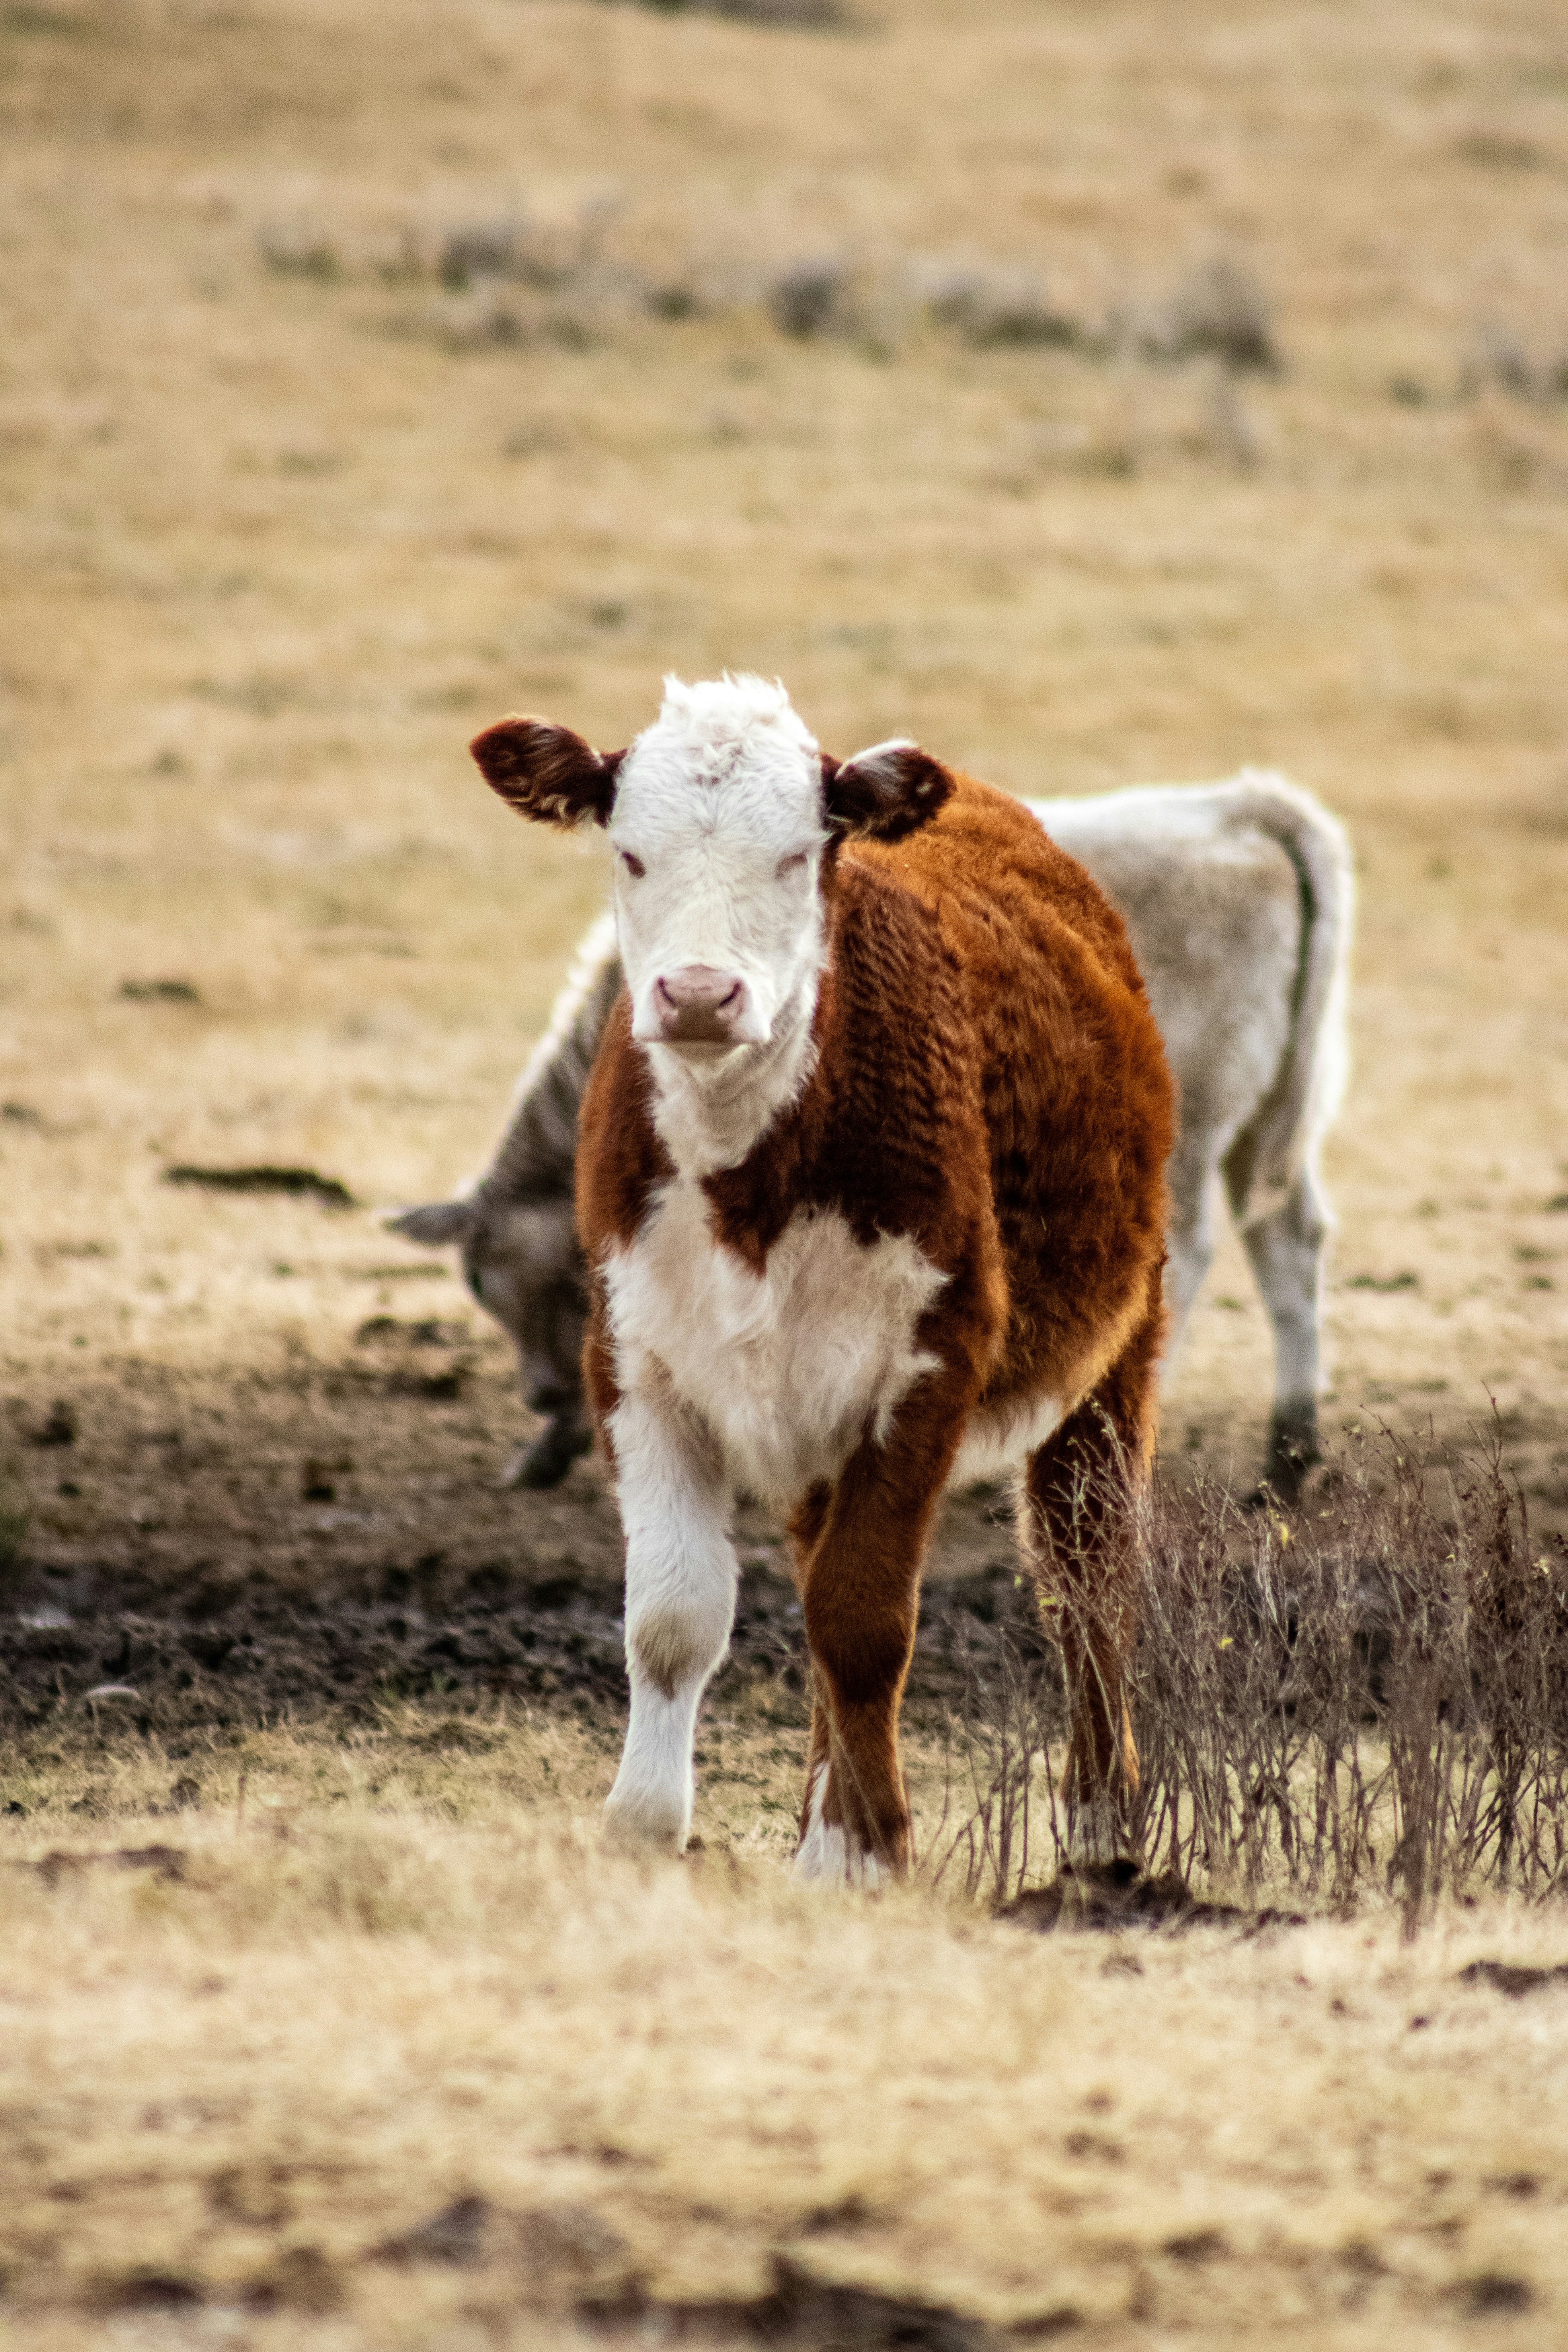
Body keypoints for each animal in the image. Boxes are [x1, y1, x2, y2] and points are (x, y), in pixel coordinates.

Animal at [393, 770, 1351, 1505]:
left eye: (519, 1277)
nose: (545, 1398)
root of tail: (1242, 804)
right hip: (1271, 1114)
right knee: (1290, 1243)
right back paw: (1288, 1456)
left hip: (1193, 1120)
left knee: (1184, 1256)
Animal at [462, 675, 1174, 1878]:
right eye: (629, 853)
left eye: (798, 854)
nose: (699, 994)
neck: (748, 1176)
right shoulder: (633, 1358)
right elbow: (675, 1619)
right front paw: (649, 1825)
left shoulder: (931, 1360)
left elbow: (861, 1617)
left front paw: (859, 1854)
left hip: (1114, 1353)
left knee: (1088, 1578)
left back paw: (1097, 1828)